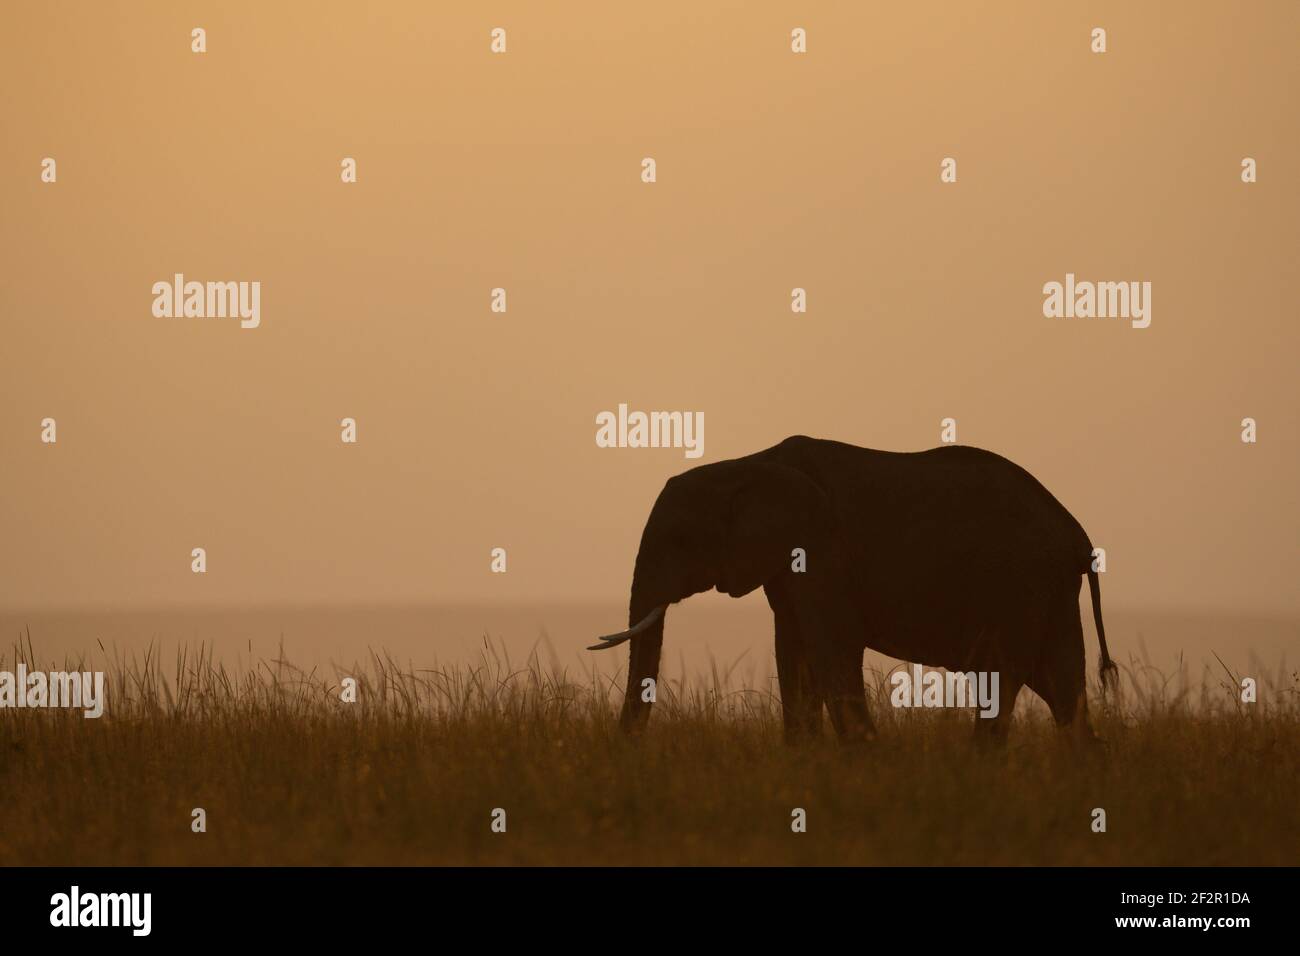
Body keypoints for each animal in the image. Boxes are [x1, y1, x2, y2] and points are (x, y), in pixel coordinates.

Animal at [589, 435, 1117, 744]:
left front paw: (866, 763)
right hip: (1048, 589)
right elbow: (794, 653)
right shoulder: (787, 563)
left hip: (1022, 583)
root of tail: (1076, 532)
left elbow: (830, 650)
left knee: (1003, 678)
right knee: (1061, 683)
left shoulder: (821, 550)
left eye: (680, 539)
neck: (746, 464)